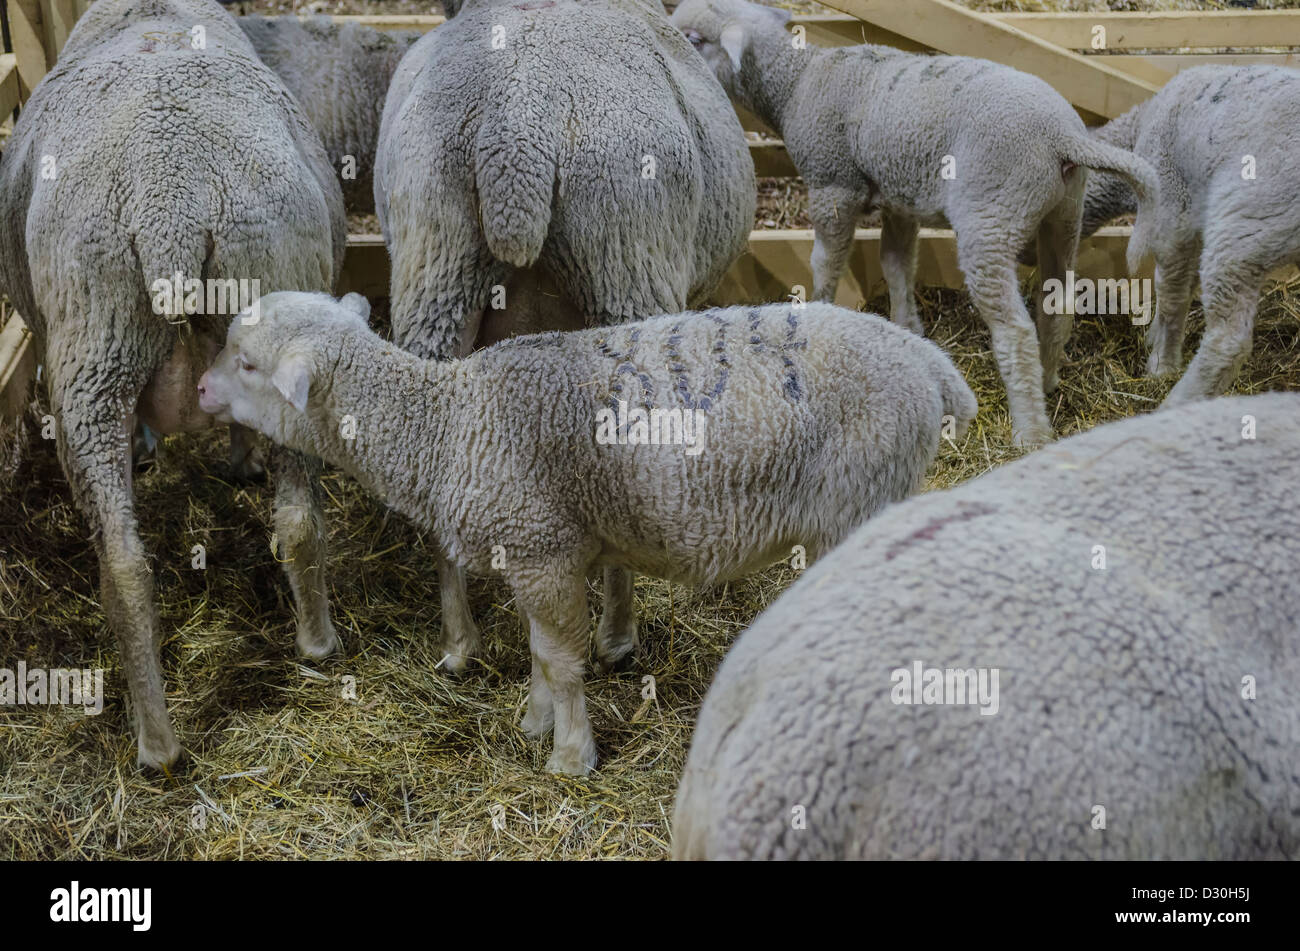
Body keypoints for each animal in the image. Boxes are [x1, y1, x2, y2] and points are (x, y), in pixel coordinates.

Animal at [0, 0, 348, 769]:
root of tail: (172, 201)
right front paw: (239, 460)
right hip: (268, 294)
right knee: (291, 521)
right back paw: (311, 647)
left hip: (92, 345)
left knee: (125, 561)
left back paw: (156, 741)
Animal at [195, 291, 978, 774]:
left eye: (249, 364)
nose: (199, 390)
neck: (448, 424)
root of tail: (930, 364)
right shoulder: (537, 548)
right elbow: (540, 652)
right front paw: (536, 720)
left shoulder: (543, 548)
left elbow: (562, 659)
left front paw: (571, 755)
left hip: (860, 498)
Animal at [671, 0, 1160, 449]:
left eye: (694, 39)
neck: (795, 82)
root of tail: (1063, 136)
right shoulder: (897, 197)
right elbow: (896, 262)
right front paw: (908, 326)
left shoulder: (833, 183)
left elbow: (826, 262)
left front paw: (820, 309)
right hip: (1063, 214)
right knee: (1057, 303)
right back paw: (1048, 380)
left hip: (991, 215)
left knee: (1014, 330)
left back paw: (1030, 431)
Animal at [1074, 66, 1300, 406]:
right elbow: (1186, 282)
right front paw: (1155, 337)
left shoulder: (1172, 207)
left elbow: (1172, 291)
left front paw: (1162, 364)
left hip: (1243, 228)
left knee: (1228, 342)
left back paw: (1176, 402)